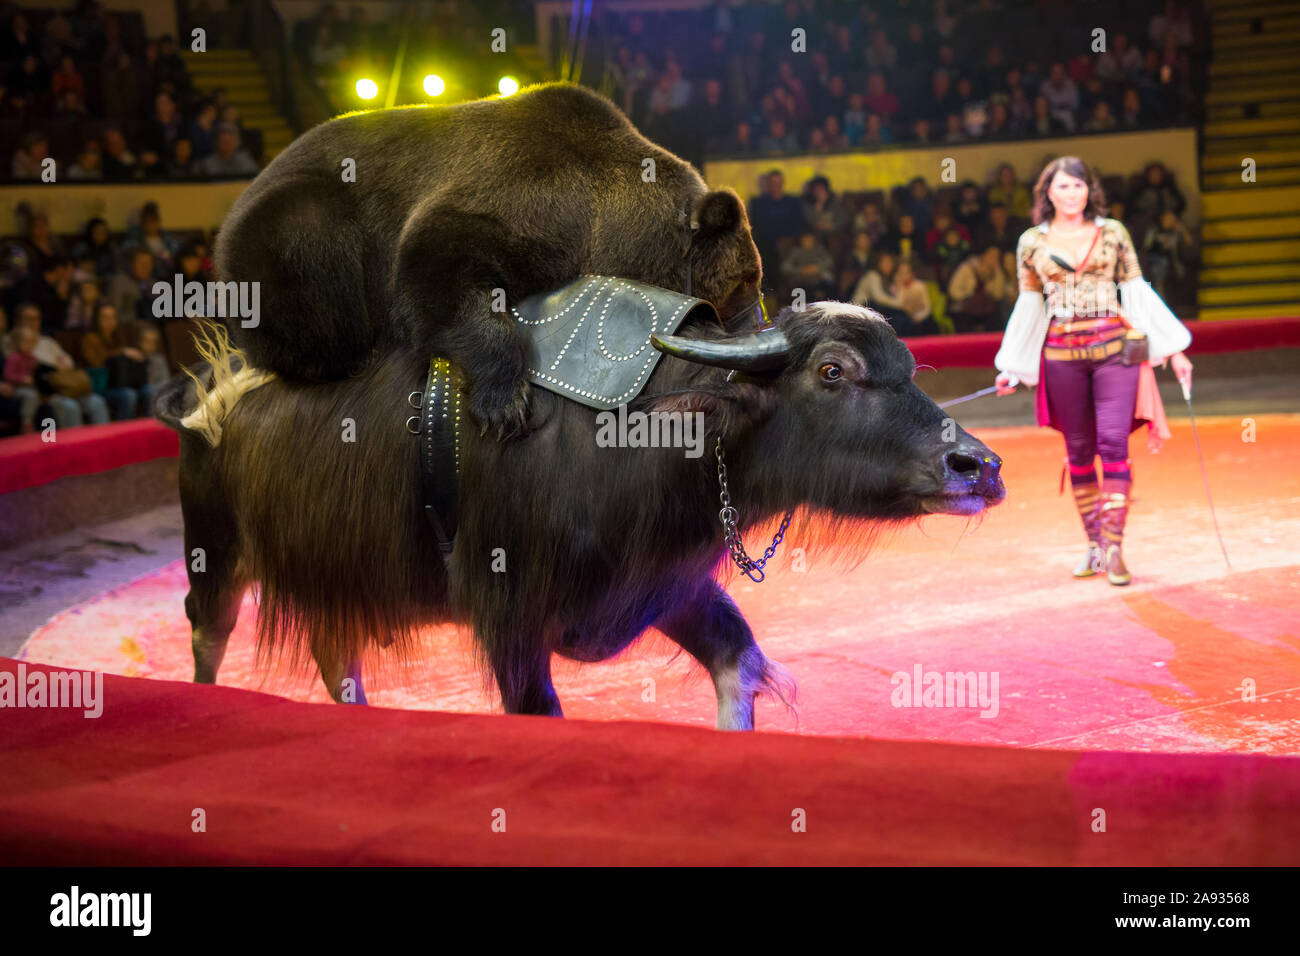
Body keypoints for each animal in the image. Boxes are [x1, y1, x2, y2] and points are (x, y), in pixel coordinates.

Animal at [157, 301, 1004, 730]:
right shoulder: (510, 621)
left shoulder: (667, 586)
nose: (979, 468)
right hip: (215, 554)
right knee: (208, 634)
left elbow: (739, 665)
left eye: (908, 370)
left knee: (337, 659)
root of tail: (218, 394)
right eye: (833, 372)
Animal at [214, 82, 762, 437]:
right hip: (290, 222)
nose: (757, 323)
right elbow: (437, 270)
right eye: (746, 284)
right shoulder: (521, 195)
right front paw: (505, 403)